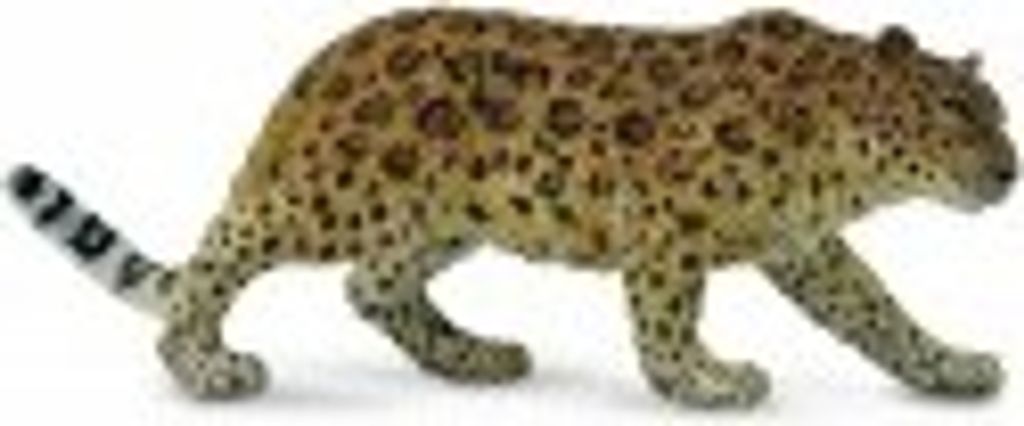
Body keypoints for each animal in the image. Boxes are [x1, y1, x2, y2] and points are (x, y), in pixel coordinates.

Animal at [6, 7, 1017, 408]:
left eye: (999, 113)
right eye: (955, 113)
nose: (1010, 171)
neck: (834, 150)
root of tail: (322, 62)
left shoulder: (804, 247)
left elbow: (879, 313)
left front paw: (953, 368)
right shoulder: (665, 227)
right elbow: (666, 320)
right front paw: (704, 383)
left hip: (439, 218)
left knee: (374, 287)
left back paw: (474, 356)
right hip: (330, 194)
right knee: (221, 247)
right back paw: (206, 364)